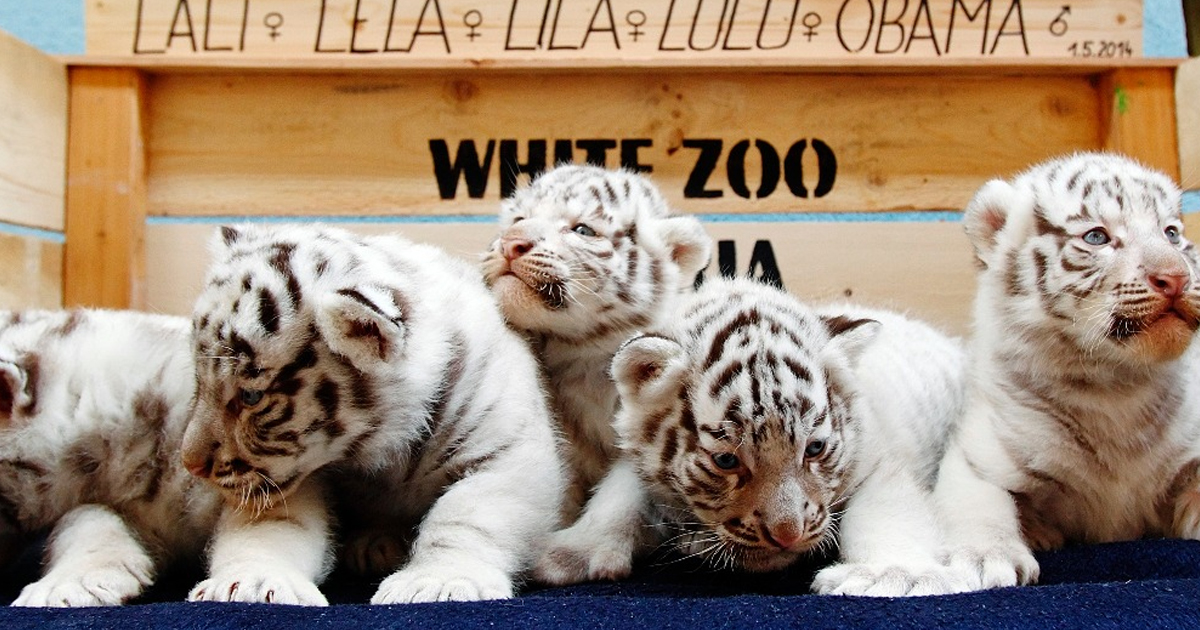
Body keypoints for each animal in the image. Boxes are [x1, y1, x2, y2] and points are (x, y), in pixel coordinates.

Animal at [181, 223, 566, 605]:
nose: (191, 465)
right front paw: (251, 582)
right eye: (200, 381)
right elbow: (272, 526)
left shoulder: (506, 450)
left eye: (251, 396)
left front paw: (438, 582)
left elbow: (466, 517)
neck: (378, 449)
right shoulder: (286, 482)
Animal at [532, 276, 972, 596]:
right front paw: (570, 553)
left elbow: (888, 511)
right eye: (727, 460)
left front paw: (892, 574)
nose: (786, 535)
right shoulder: (637, 453)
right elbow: (620, 495)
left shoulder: (878, 460)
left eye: (814, 449)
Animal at [932, 152, 1200, 591]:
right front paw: (986, 559)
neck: (1115, 385)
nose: (1177, 278)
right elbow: (979, 504)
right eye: (1097, 237)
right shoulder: (980, 455)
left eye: (1172, 233)